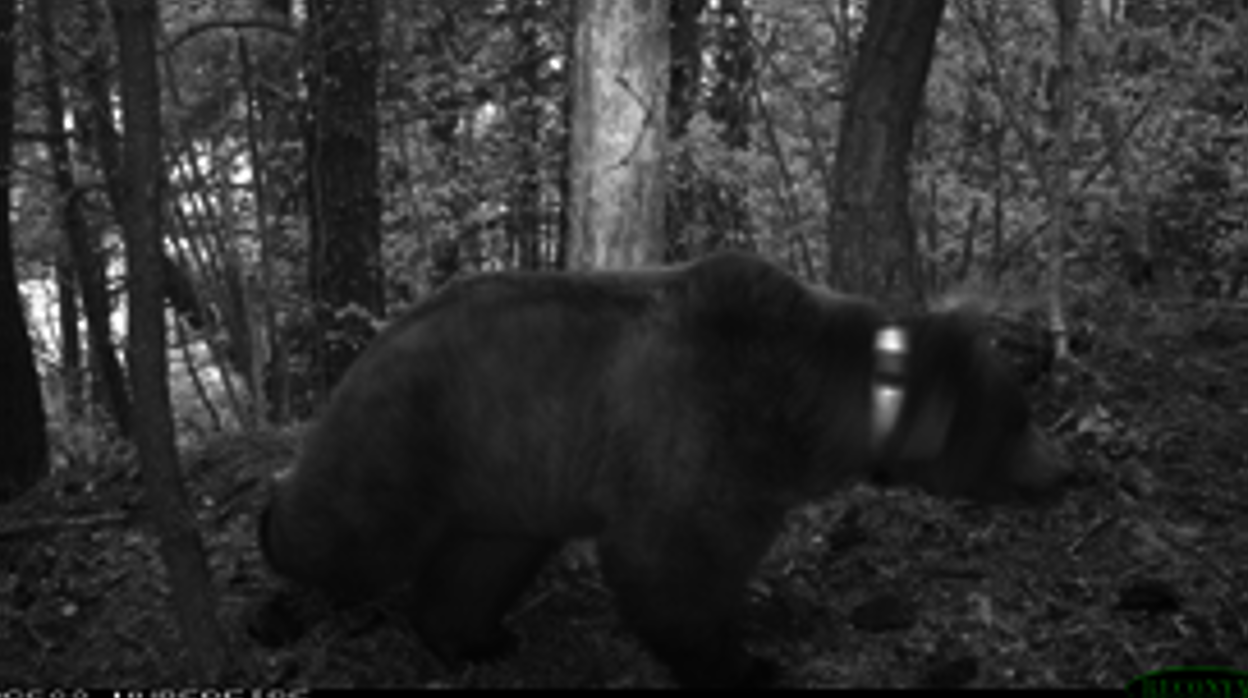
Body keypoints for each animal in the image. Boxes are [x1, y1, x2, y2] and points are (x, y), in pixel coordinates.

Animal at [257, 250, 1070, 688]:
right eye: (1020, 419)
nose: (1066, 474)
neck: (821, 407)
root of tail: (368, 346)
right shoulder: (703, 426)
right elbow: (671, 560)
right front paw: (743, 664)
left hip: (508, 474)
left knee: (480, 559)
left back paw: (473, 638)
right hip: (414, 431)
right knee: (352, 533)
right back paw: (272, 538)